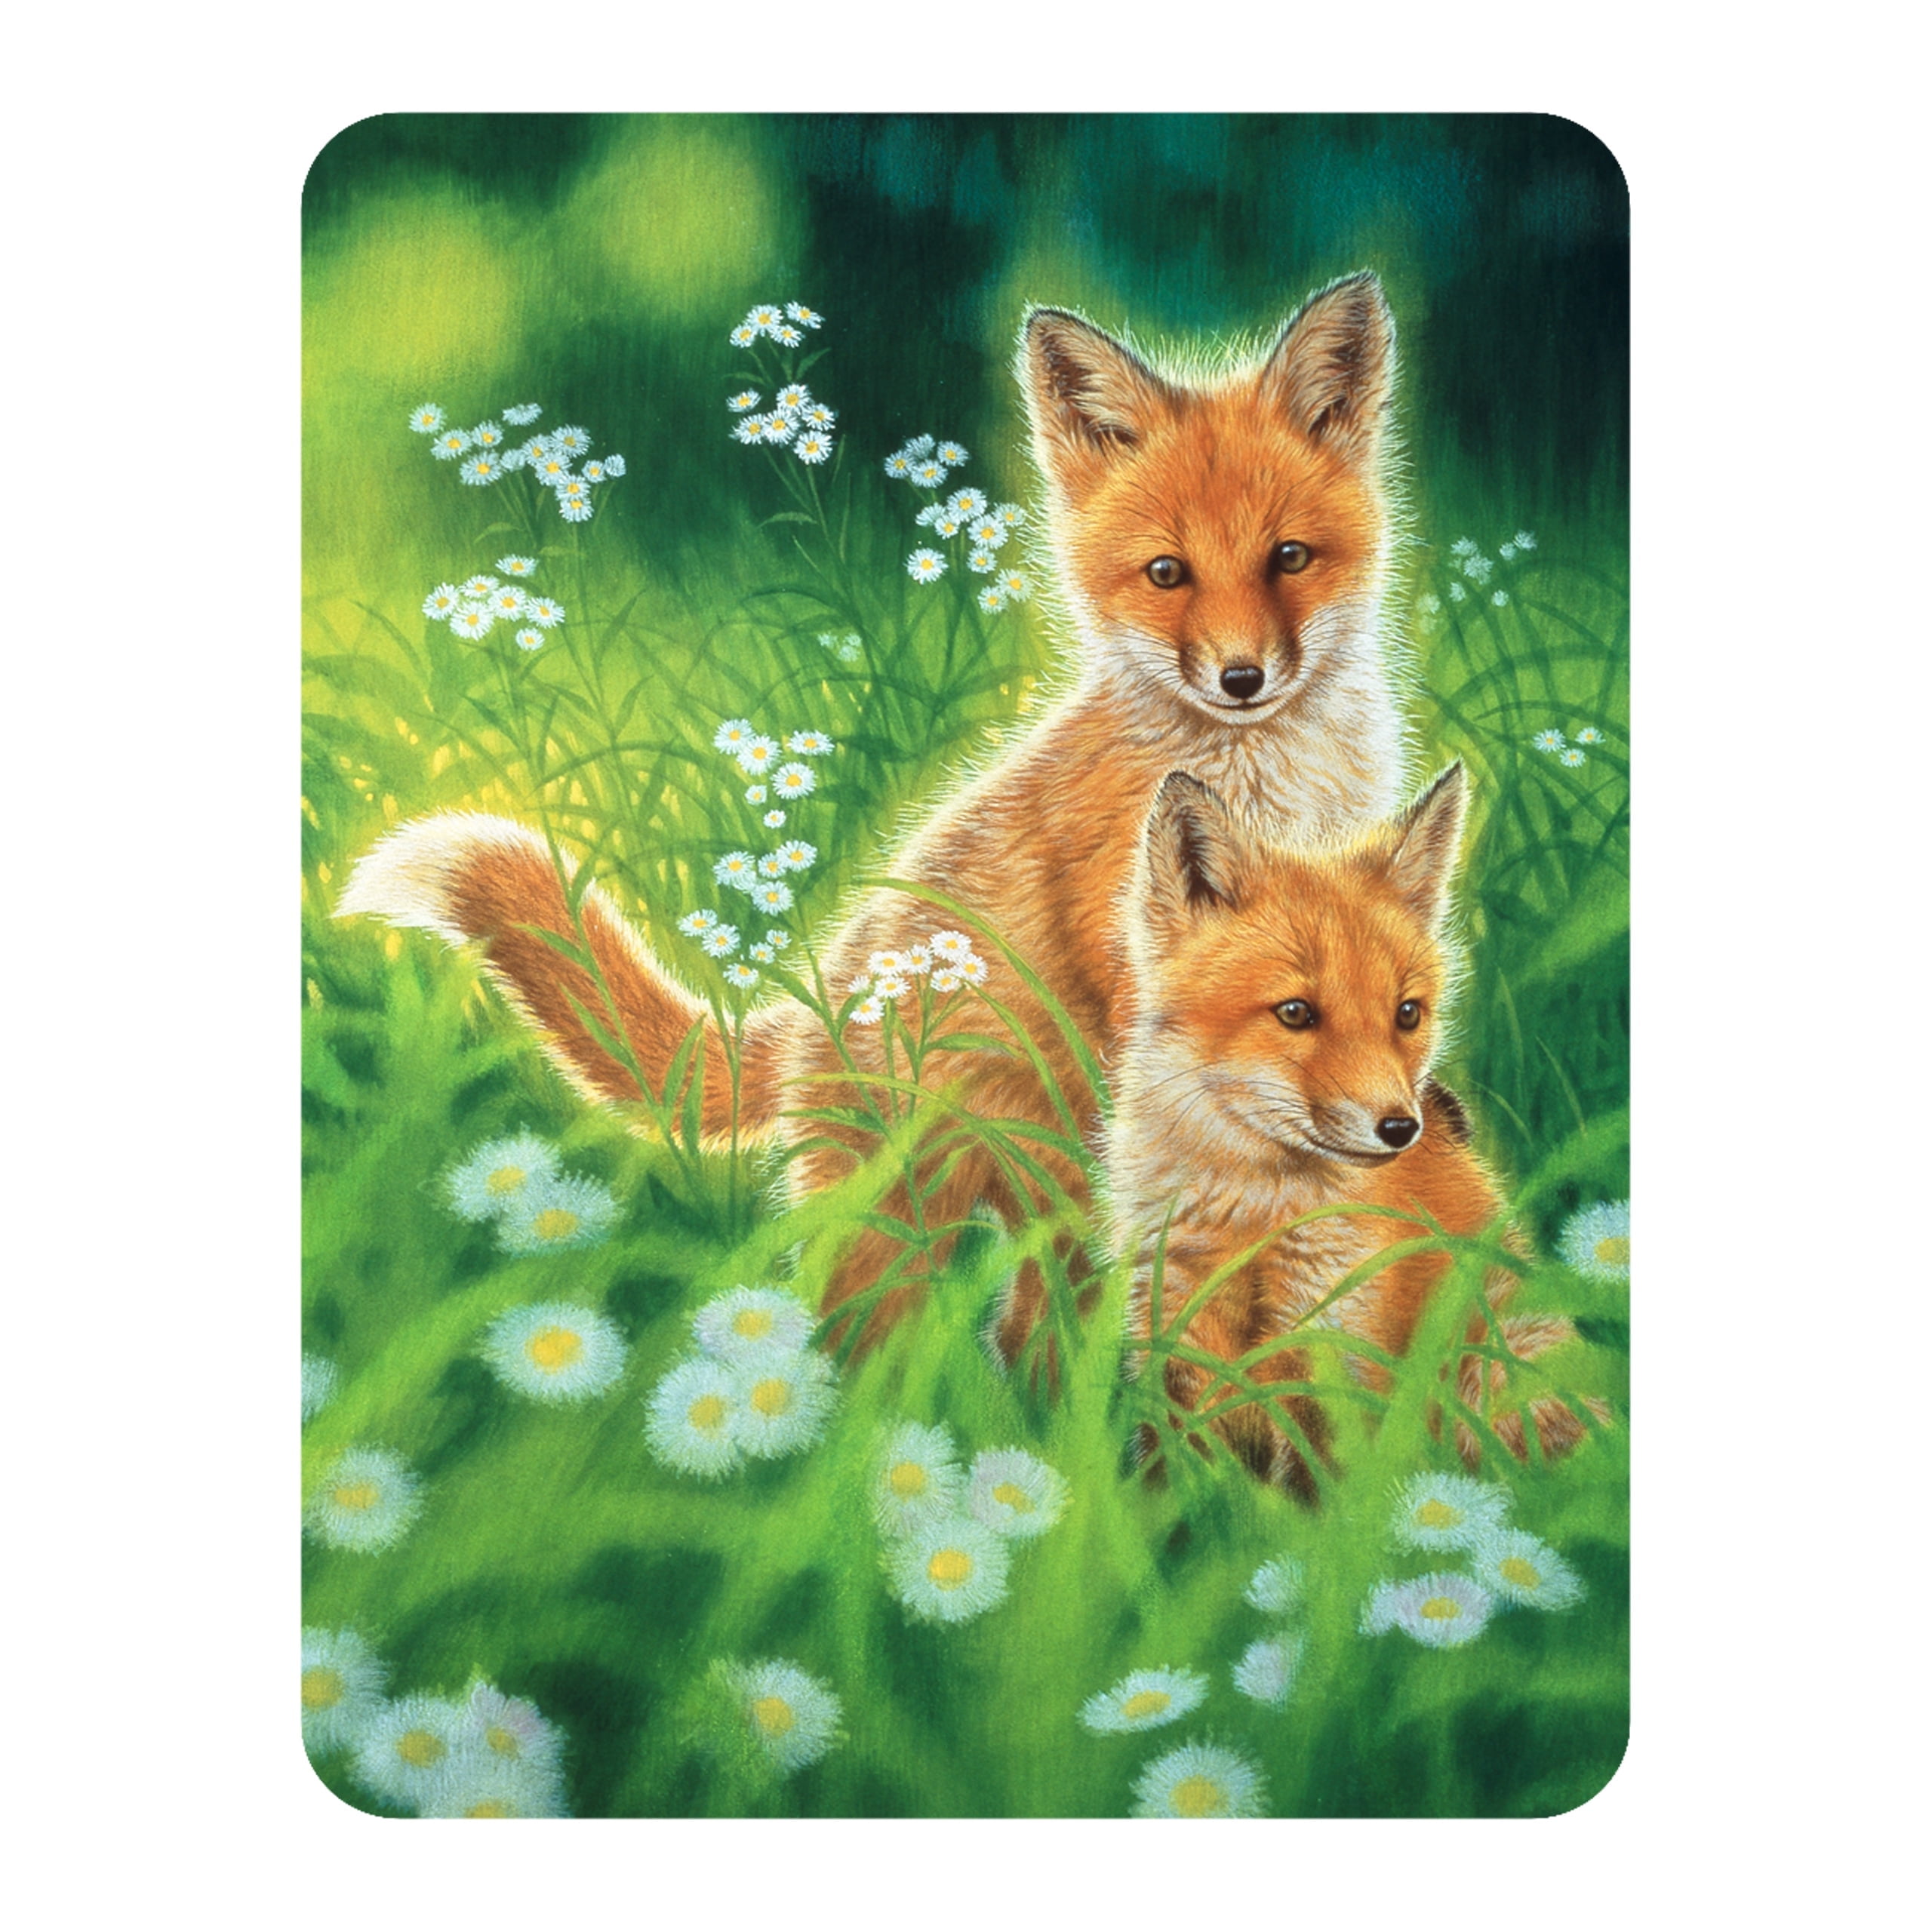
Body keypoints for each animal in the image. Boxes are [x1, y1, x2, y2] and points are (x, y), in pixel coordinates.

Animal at [340, 274, 1413, 1352]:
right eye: (1165, 573)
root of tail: (820, 1000)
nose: (1241, 679)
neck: (1270, 786)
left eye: (1289, 557)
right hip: (904, 1223)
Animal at [1108, 765, 1594, 1495]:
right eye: (1295, 1013)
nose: (1400, 1128)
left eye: (1407, 1013)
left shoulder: (1334, 1339)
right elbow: (1180, 1481)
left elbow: (1320, 1494)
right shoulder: (1171, 1326)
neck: (1252, 1213)